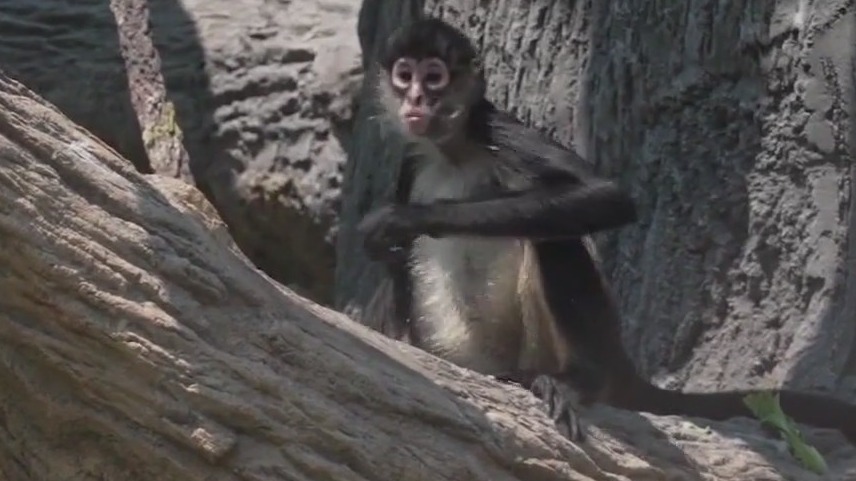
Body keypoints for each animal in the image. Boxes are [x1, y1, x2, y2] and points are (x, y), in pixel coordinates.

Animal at [355, 16, 856, 444]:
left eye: (434, 78)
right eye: (404, 76)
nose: (416, 101)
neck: (451, 151)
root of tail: (620, 362)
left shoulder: (490, 124)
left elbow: (605, 196)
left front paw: (403, 220)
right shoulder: (414, 158)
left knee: (556, 234)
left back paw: (579, 383)